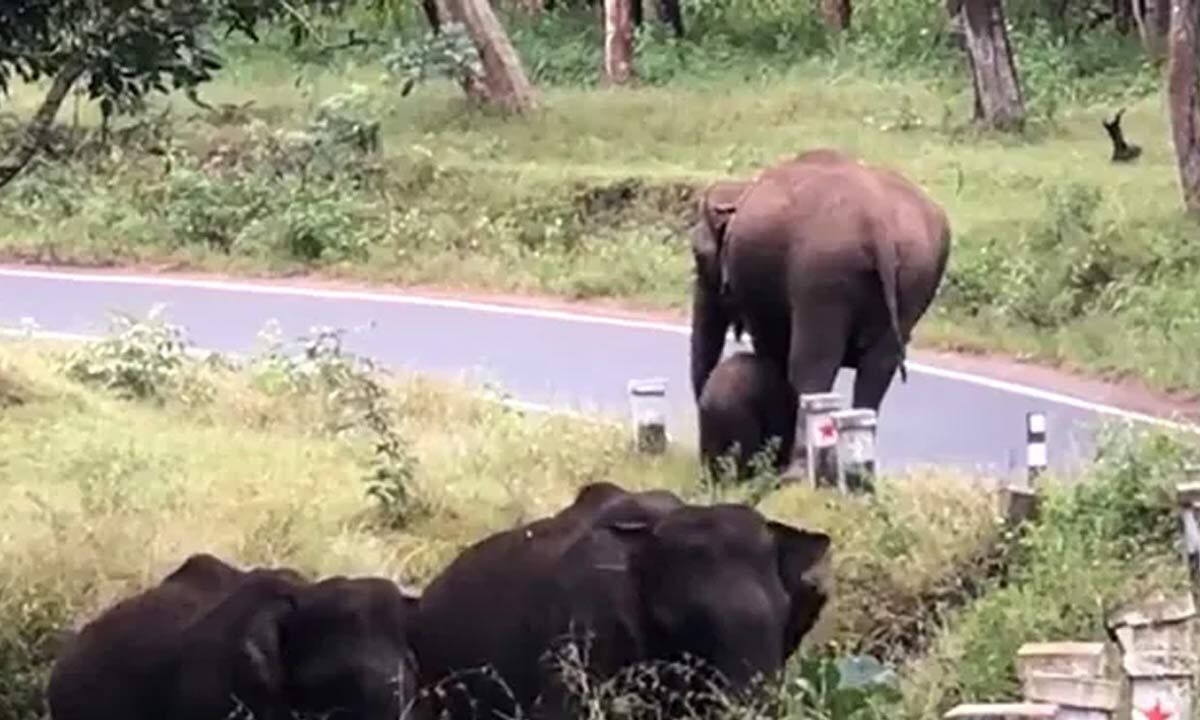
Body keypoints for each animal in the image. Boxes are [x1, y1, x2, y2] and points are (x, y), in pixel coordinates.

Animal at [689, 148, 952, 439]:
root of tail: (876, 222)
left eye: (698, 255)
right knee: (878, 369)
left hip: (823, 274)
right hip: (914, 276)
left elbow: (772, 351)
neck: (741, 187)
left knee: (811, 368)